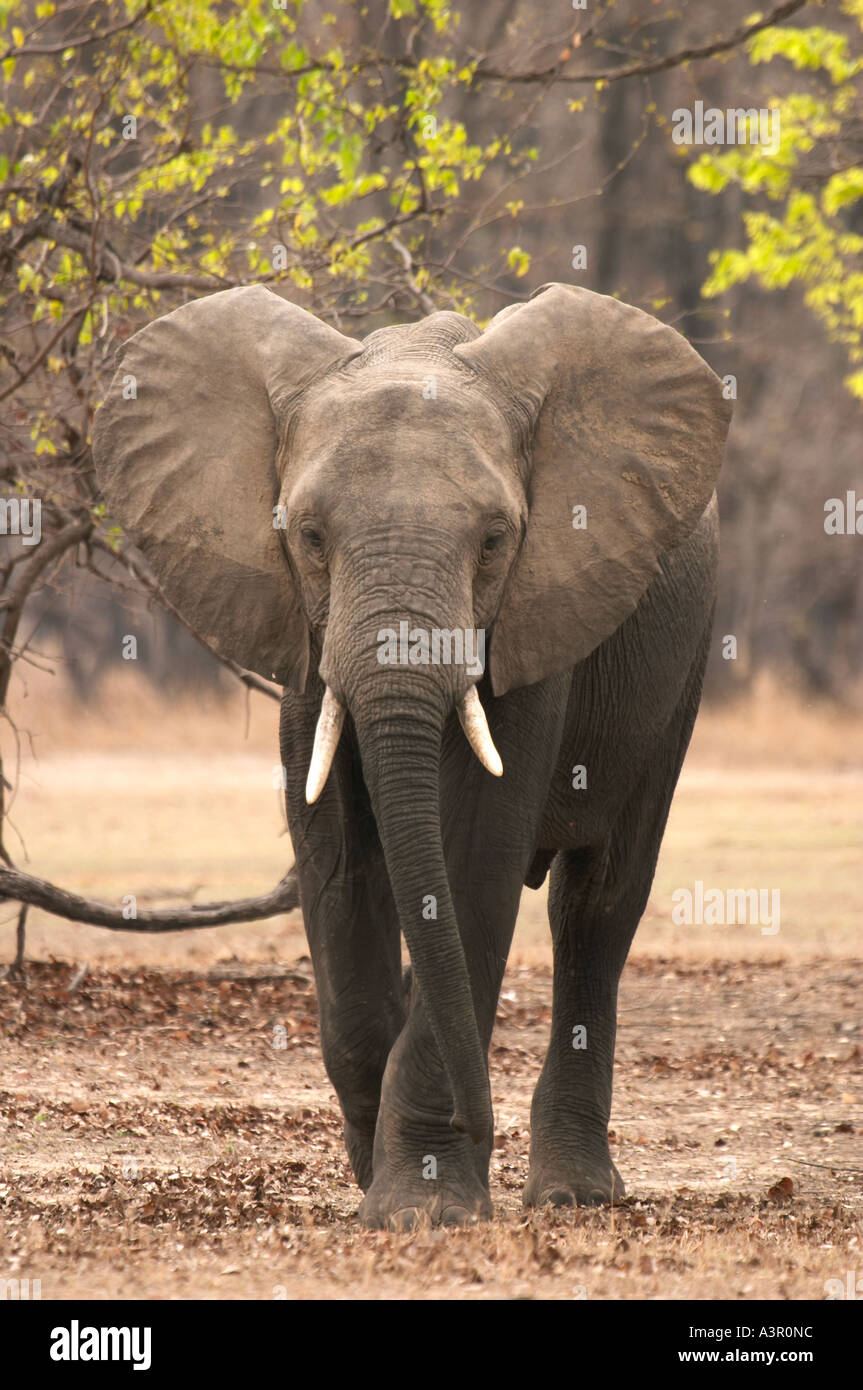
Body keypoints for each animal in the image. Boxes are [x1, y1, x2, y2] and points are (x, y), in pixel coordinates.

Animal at [92, 282, 731, 1229]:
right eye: (309, 537)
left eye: (496, 539)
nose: (481, 1123)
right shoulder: (306, 644)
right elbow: (335, 853)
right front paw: (379, 1179)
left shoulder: (535, 619)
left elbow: (471, 859)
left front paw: (424, 1208)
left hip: (680, 665)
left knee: (597, 902)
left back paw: (573, 1196)